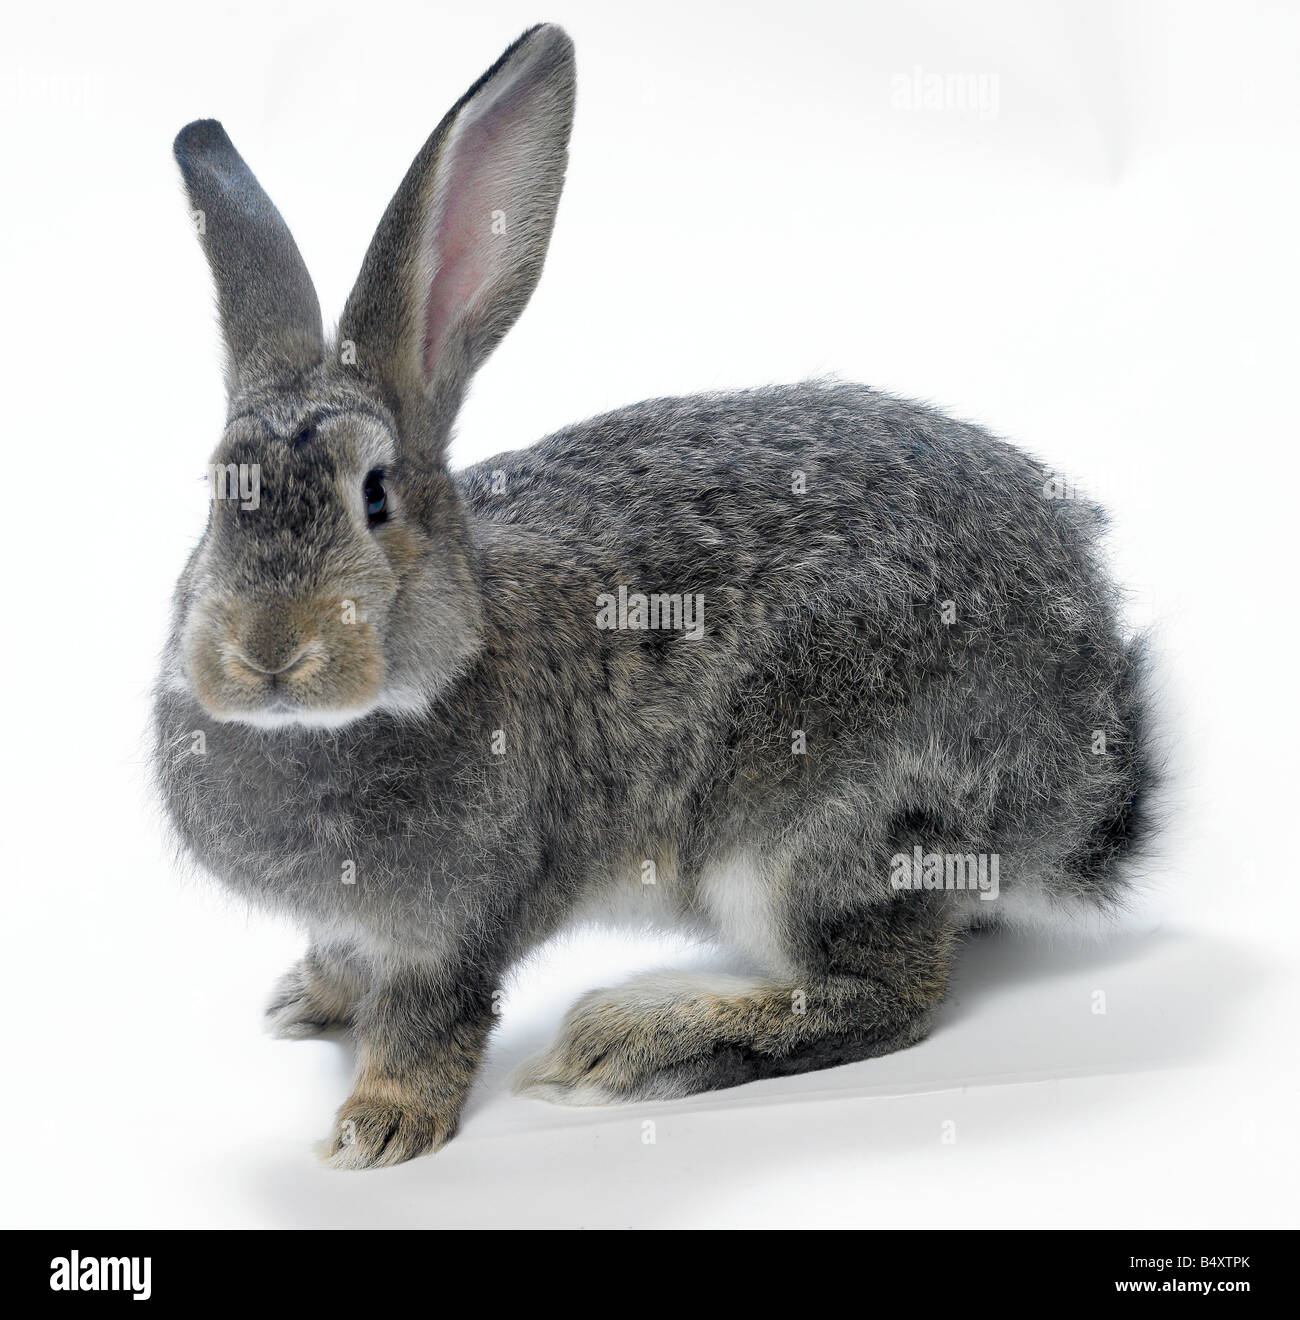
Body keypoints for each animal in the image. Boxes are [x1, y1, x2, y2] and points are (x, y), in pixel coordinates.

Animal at [153, 23, 1157, 1169]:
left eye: (375, 497)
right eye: (215, 496)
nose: (267, 654)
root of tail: (1087, 762)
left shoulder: (456, 925)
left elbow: (429, 1022)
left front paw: (378, 1130)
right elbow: (337, 958)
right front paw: (305, 1003)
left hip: (812, 828)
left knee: (880, 994)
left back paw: (626, 1042)